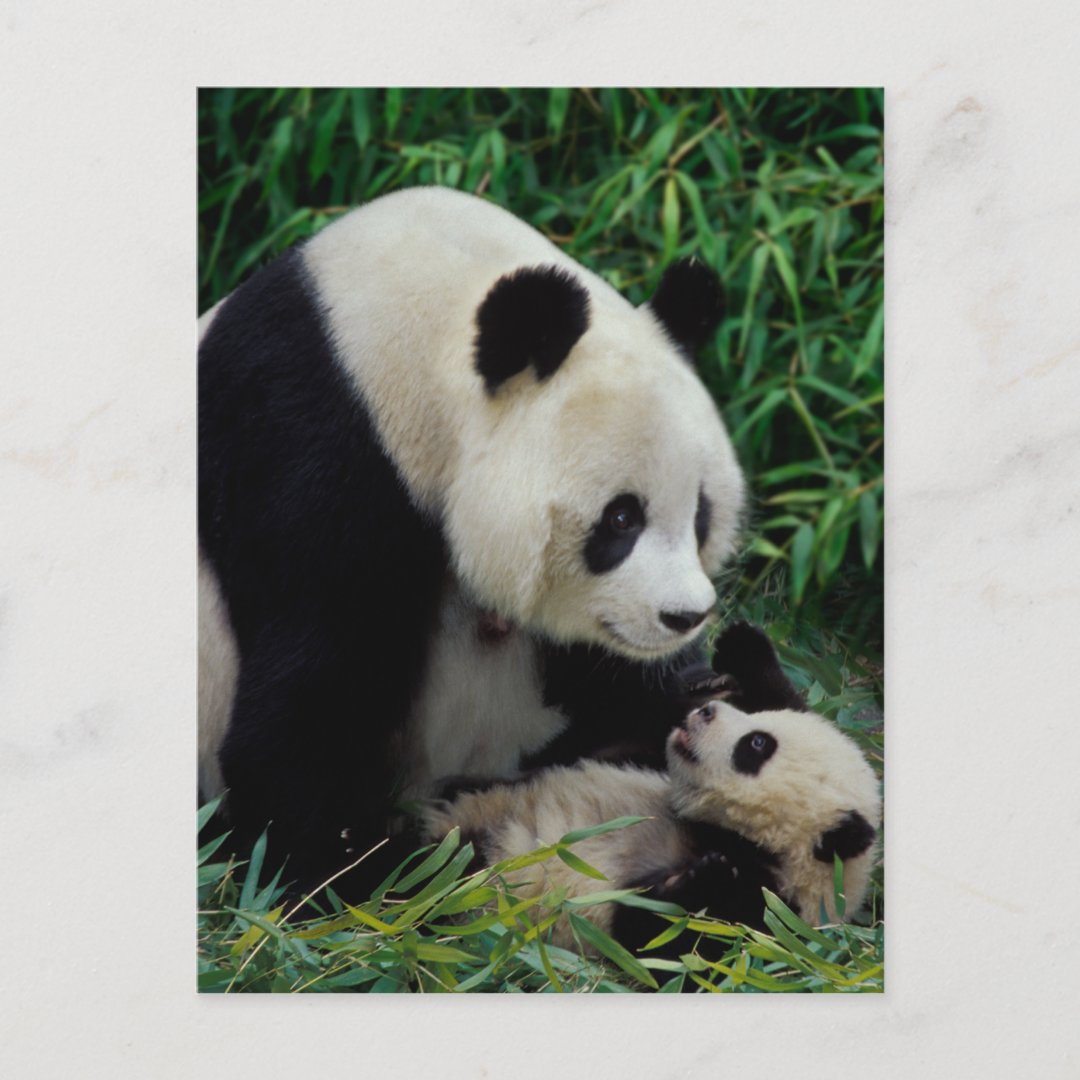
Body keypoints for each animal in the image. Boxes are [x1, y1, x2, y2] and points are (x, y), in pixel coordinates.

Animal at [198, 186, 745, 897]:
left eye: (700, 512)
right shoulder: (309, 457)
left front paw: (708, 693)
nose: (684, 616)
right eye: (621, 519)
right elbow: (304, 707)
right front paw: (370, 876)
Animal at [423, 658, 881, 954]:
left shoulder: (769, 911)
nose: (706, 711)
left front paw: (710, 876)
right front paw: (725, 670)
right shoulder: (643, 759)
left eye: (756, 744)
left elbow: (659, 938)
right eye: (762, 722)